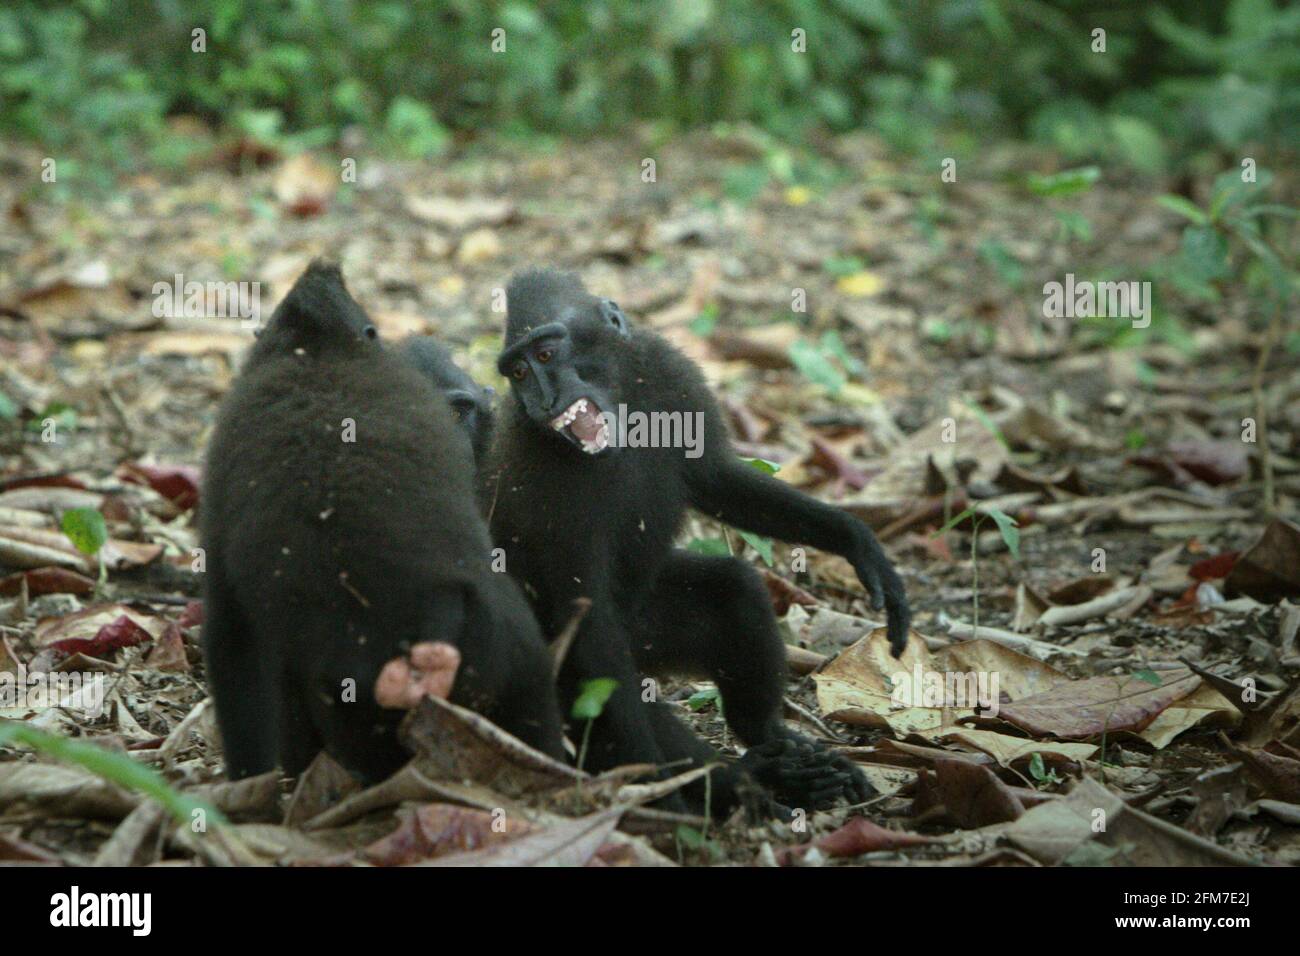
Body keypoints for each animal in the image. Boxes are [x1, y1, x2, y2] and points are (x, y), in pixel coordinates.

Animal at [479, 268, 911, 815]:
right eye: (517, 372)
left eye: (546, 354)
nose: (540, 400)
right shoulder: (539, 478)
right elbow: (588, 620)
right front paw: (658, 797)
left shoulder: (670, 374)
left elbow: (717, 480)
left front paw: (854, 540)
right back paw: (743, 782)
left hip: (647, 625)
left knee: (733, 589)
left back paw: (775, 746)